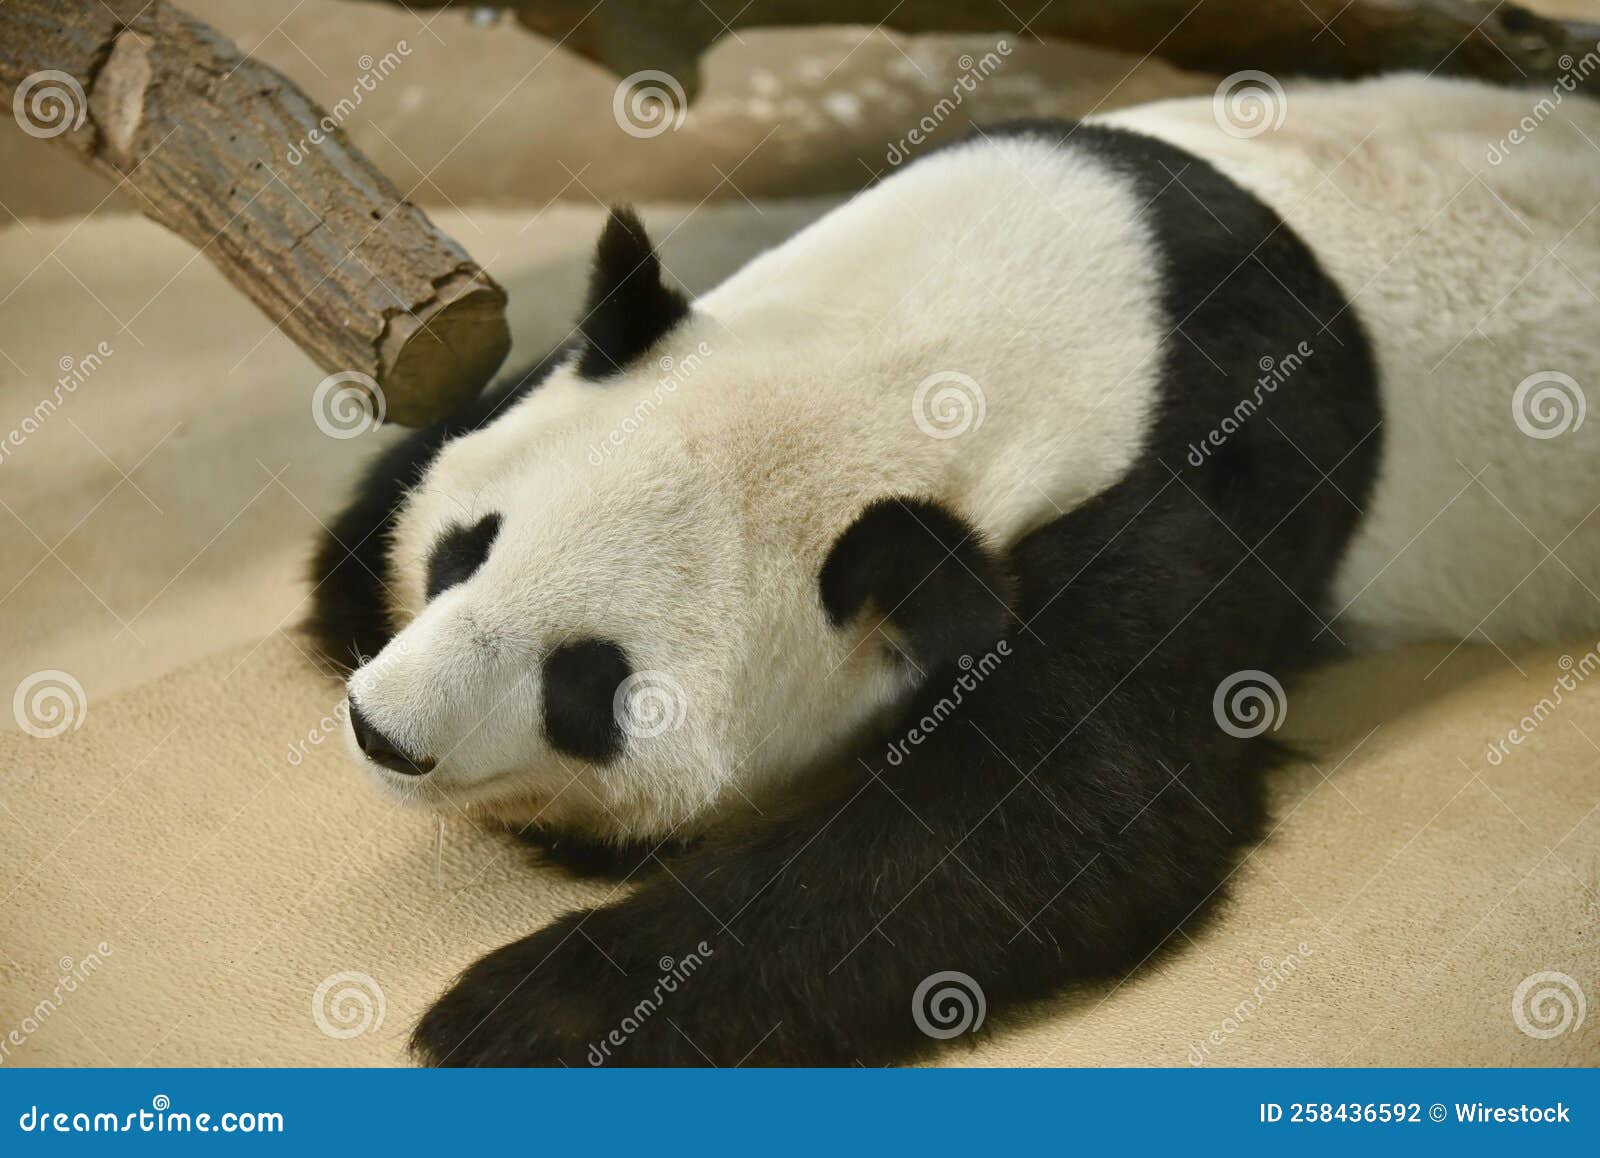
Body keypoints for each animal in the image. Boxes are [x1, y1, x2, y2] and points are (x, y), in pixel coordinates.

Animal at [308, 74, 1600, 1066]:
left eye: (589, 686)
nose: (383, 735)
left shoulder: (1202, 471)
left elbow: (1054, 814)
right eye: (469, 548)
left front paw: (527, 1004)